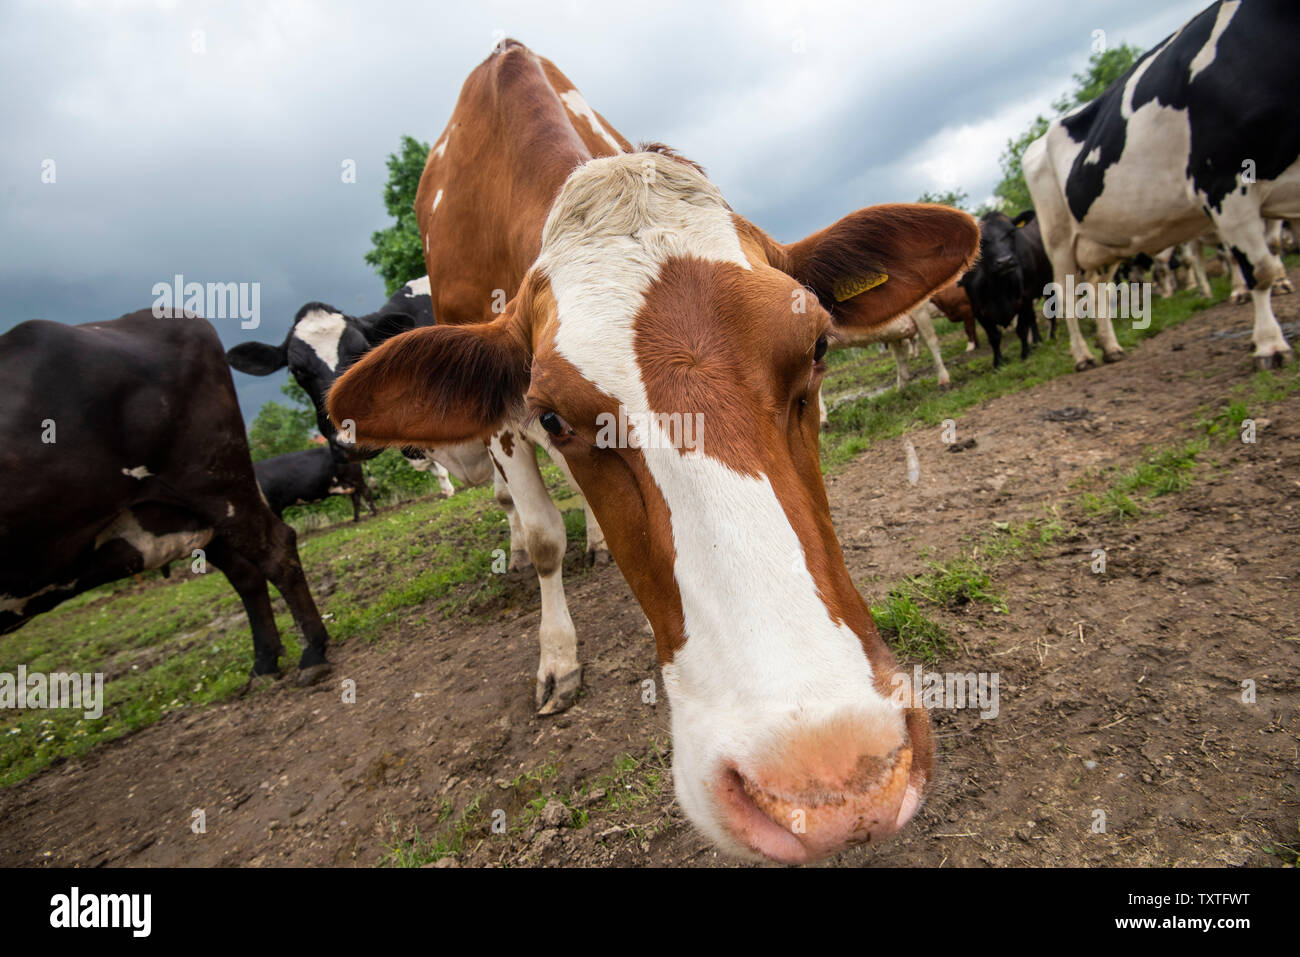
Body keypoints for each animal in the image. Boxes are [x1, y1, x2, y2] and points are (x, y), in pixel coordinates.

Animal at [0, 310, 331, 685]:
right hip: (188, 510)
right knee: (245, 574)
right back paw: (264, 663)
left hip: (216, 485)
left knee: (276, 549)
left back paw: (312, 652)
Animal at [327, 40, 978, 863]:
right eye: (553, 414)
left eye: (819, 347)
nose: (827, 778)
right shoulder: (505, 421)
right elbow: (543, 534)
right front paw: (558, 655)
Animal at [959, 210, 1054, 367]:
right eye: (982, 241)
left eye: (1011, 233)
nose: (1005, 262)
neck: (998, 288)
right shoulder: (979, 311)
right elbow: (994, 337)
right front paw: (997, 363)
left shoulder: (1024, 298)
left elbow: (1021, 329)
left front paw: (1025, 354)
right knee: (1033, 318)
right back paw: (1036, 341)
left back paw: (1051, 337)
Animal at [1024, 0, 1300, 371]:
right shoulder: (1223, 184)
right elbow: (1261, 269)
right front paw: (1270, 345)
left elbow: (1272, 249)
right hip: (1059, 241)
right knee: (1067, 297)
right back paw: (1083, 356)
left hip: (1101, 242)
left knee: (1098, 291)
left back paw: (1111, 347)